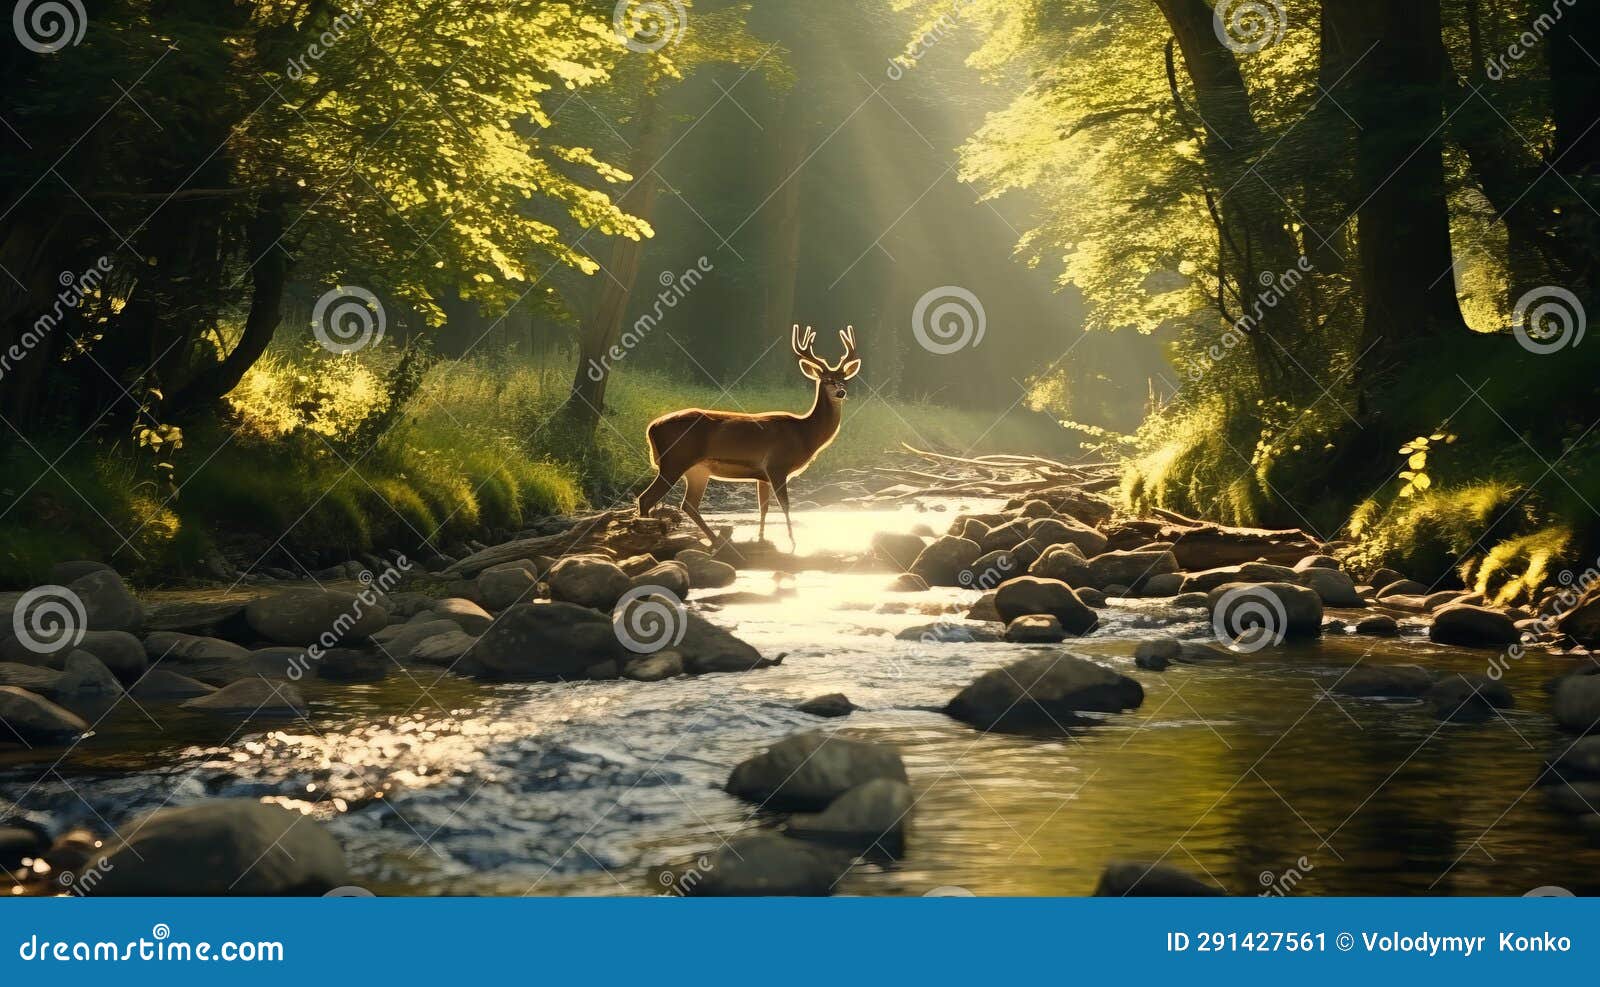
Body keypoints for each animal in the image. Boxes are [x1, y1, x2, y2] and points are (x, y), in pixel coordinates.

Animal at [637, 324, 861, 549]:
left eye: (844, 380)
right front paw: (792, 540)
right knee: (646, 498)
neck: (804, 433)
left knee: (689, 504)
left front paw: (762, 537)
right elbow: (785, 505)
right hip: (674, 460)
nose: (841, 392)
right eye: (827, 380)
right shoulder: (777, 465)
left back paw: (715, 539)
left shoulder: (763, 475)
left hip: (697, 470)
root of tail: (651, 427)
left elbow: (763, 508)